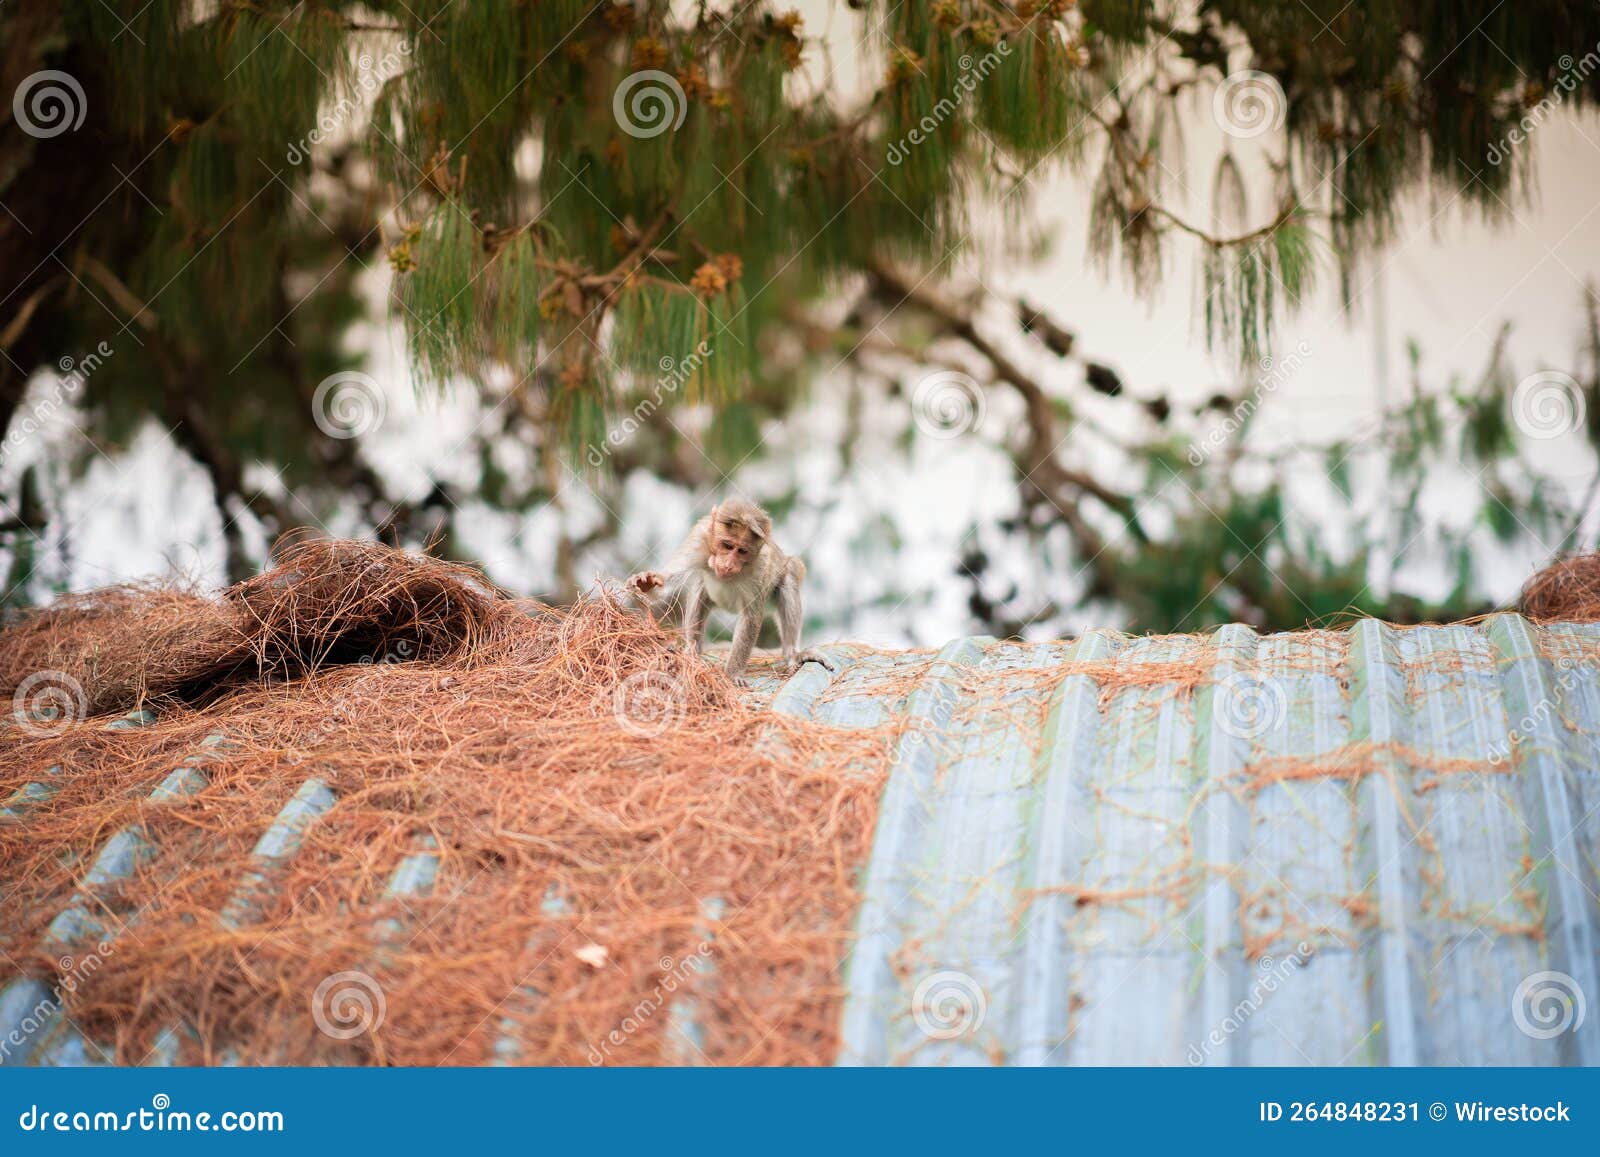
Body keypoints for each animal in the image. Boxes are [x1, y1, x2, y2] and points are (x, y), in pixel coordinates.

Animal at [627, 498, 835, 684]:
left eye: (742, 551)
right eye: (727, 545)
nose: (727, 565)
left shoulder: (761, 565)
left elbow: (751, 617)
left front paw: (733, 673)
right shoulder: (698, 537)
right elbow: (670, 578)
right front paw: (647, 583)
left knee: (790, 570)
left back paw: (792, 653)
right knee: (700, 588)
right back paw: (693, 653)